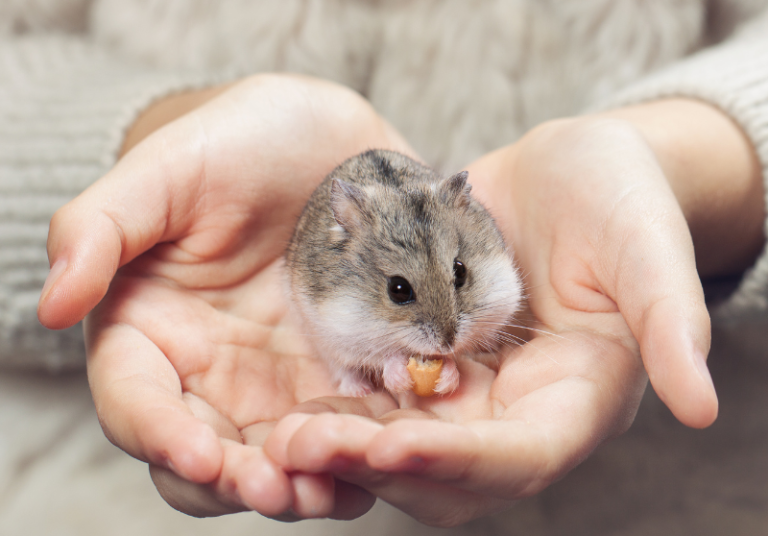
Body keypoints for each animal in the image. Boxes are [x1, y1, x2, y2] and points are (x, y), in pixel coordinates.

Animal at [285, 149, 523, 397]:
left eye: (460, 271)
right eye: (398, 290)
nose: (447, 344)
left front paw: (447, 377)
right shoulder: (338, 332)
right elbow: (381, 357)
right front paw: (398, 377)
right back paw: (359, 390)